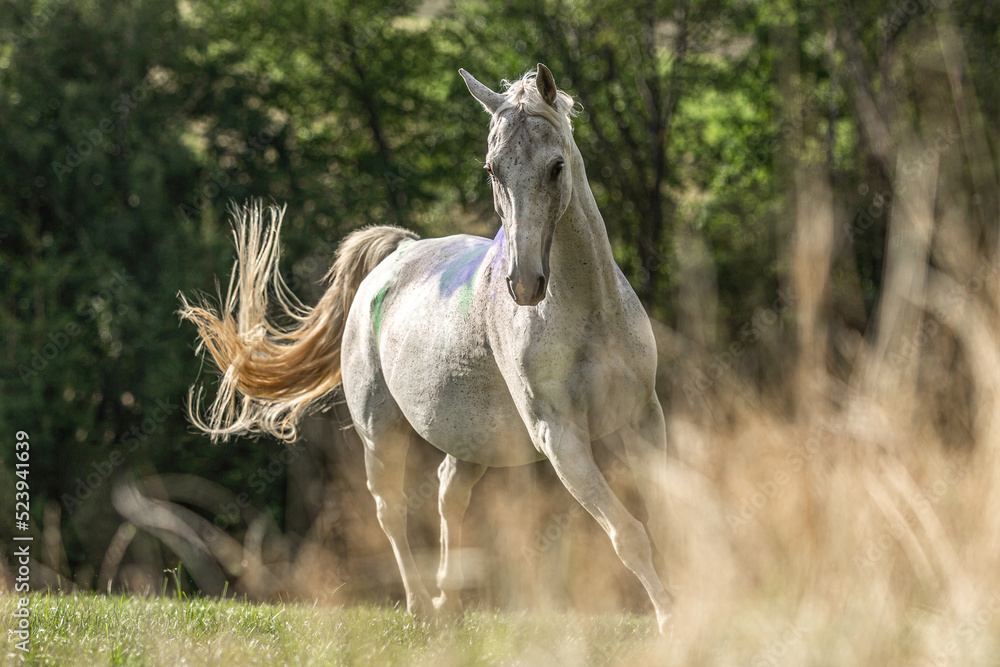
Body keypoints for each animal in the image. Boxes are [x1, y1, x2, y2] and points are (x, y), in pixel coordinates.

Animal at [179, 63, 672, 635]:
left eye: (555, 167)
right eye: (492, 170)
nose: (524, 284)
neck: (590, 312)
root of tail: (397, 254)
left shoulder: (642, 417)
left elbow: (661, 510)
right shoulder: (562, 437)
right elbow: (627, 532)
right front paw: (671, 618)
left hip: (473, 440)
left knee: (447, 494)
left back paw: (448, 602)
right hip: (381, 432)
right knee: (391, 508)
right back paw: (419, 605)